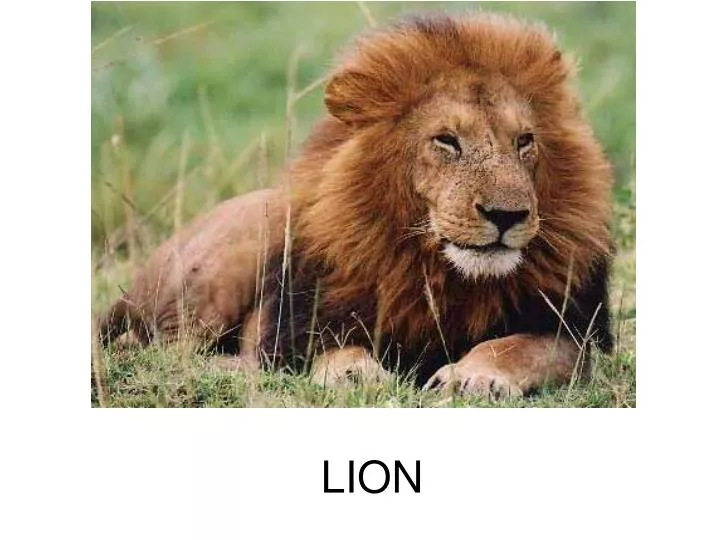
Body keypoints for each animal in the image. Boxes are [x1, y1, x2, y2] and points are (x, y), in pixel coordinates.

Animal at [100, 13, 614, 398]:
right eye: (446, 140)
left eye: (524, 141)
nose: (507, 216)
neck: (439, 271)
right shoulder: (306, 324)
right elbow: (336, 349)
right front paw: (354, 375)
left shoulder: (576, 331)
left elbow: (519, 346)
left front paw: (475, 376)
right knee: (159, 349)